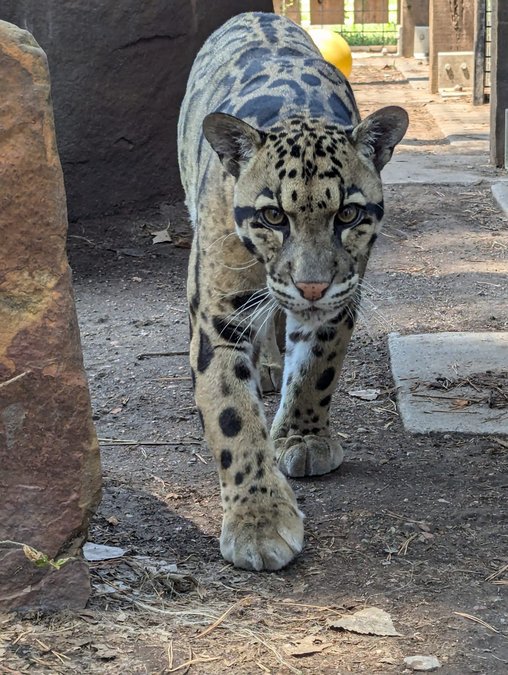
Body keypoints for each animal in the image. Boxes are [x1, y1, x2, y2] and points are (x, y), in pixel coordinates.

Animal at [177, 12, 408, 572]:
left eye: (348, 214)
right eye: (272, 217)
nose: (311, 285)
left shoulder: (340, 297)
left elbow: (315, 370)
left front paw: (303, 436)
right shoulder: (216, 315)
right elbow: (231, 414)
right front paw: (258, 520)